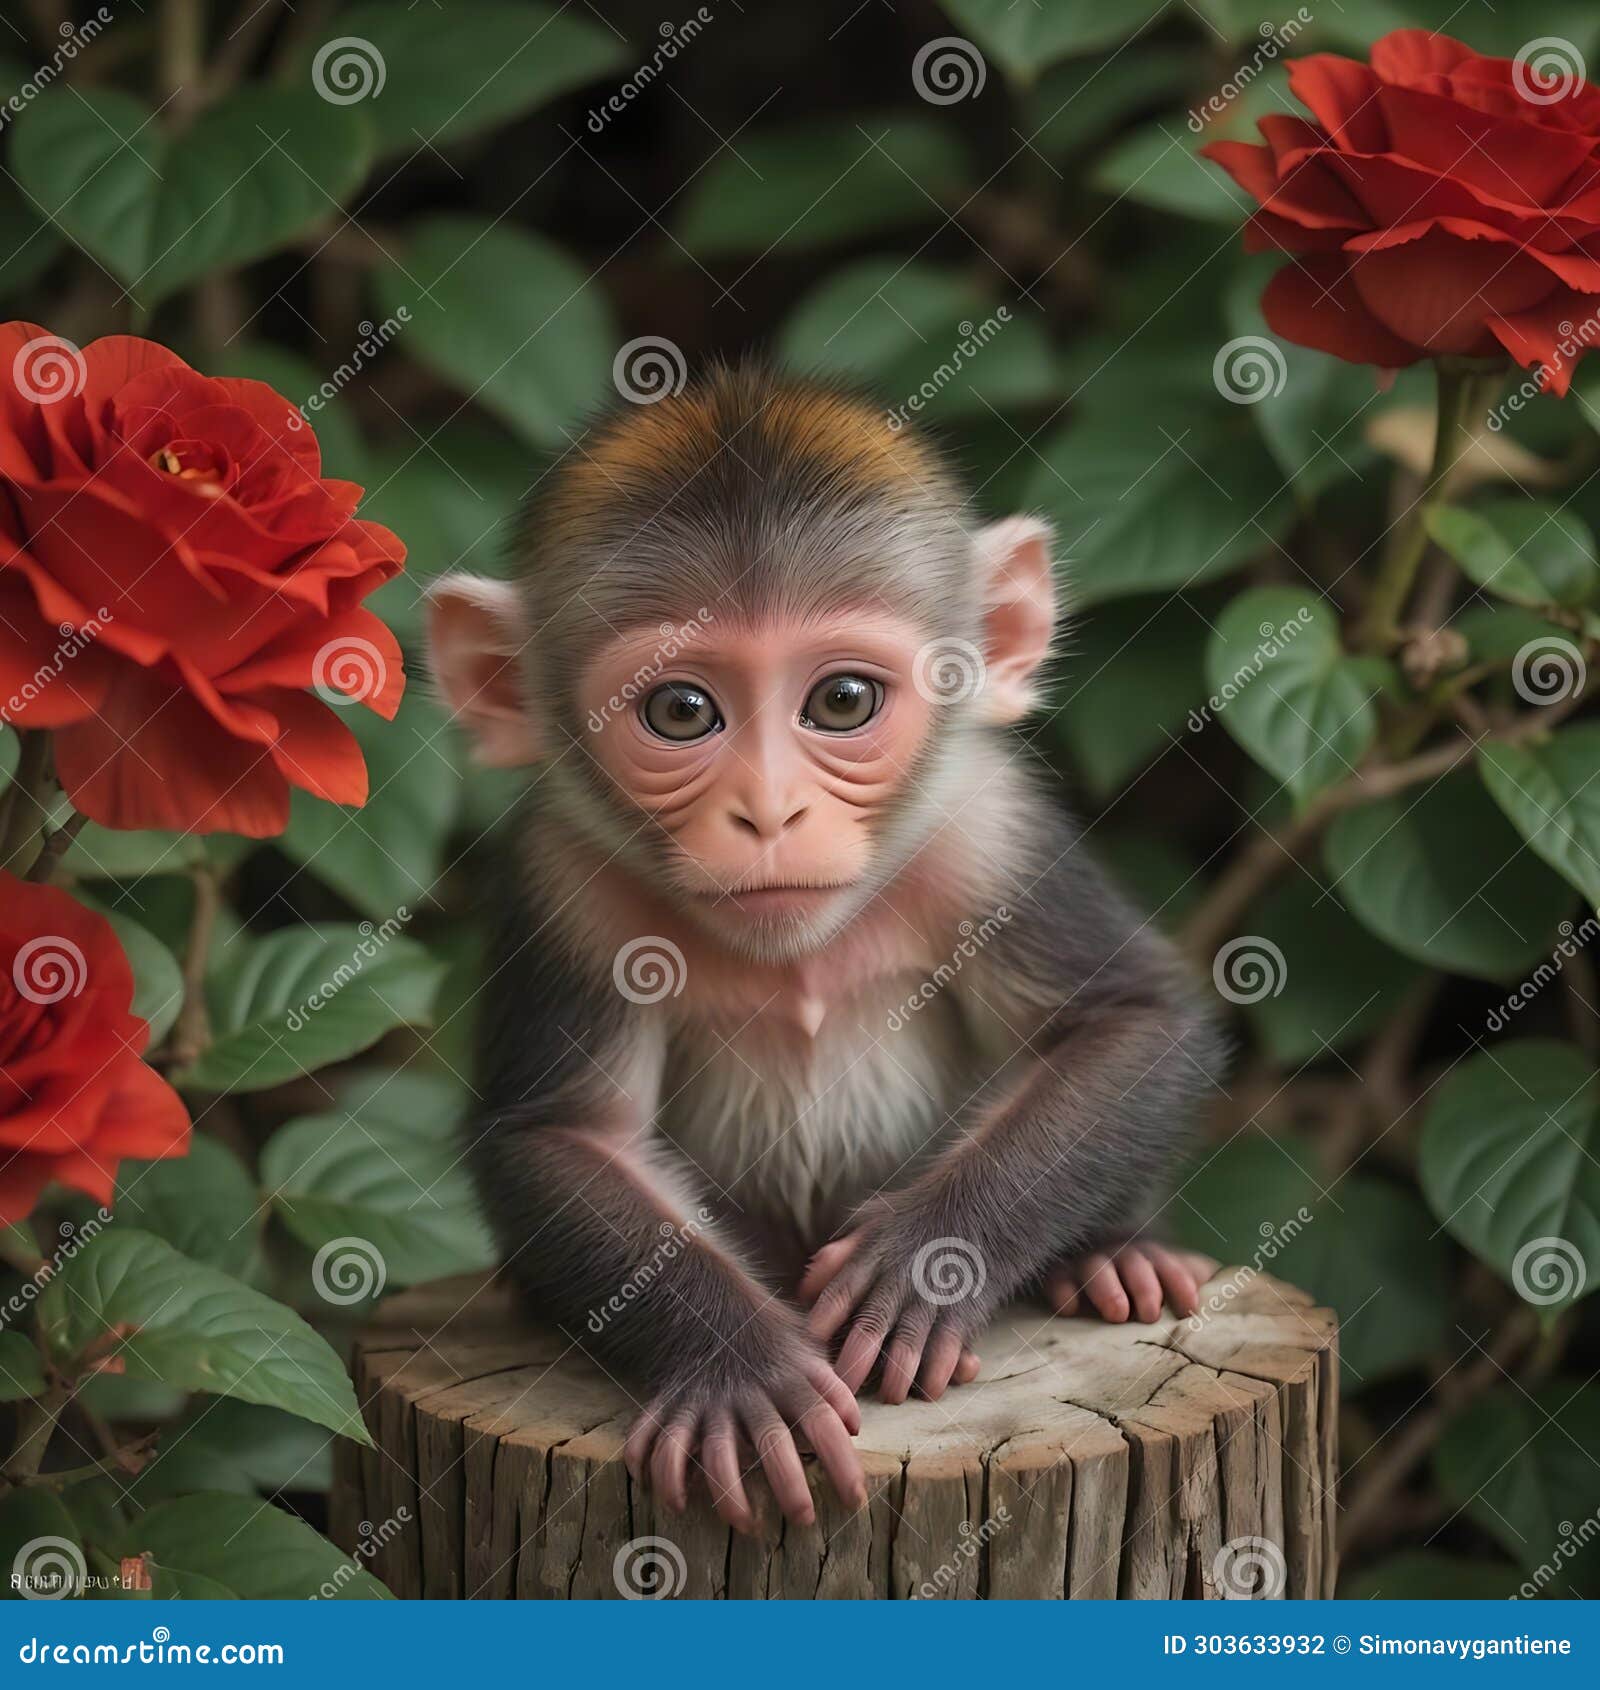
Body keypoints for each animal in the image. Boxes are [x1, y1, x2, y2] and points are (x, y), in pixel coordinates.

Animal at [426, 364, 1225, 1534]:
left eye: (841, 700)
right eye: (681, 710)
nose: (769, 812)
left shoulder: (988, 828)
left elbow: (1132, 1020)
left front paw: (930, 1264)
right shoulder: (561, 883)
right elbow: (569, 1134)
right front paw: (736, 1364)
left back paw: (1113, 1261)